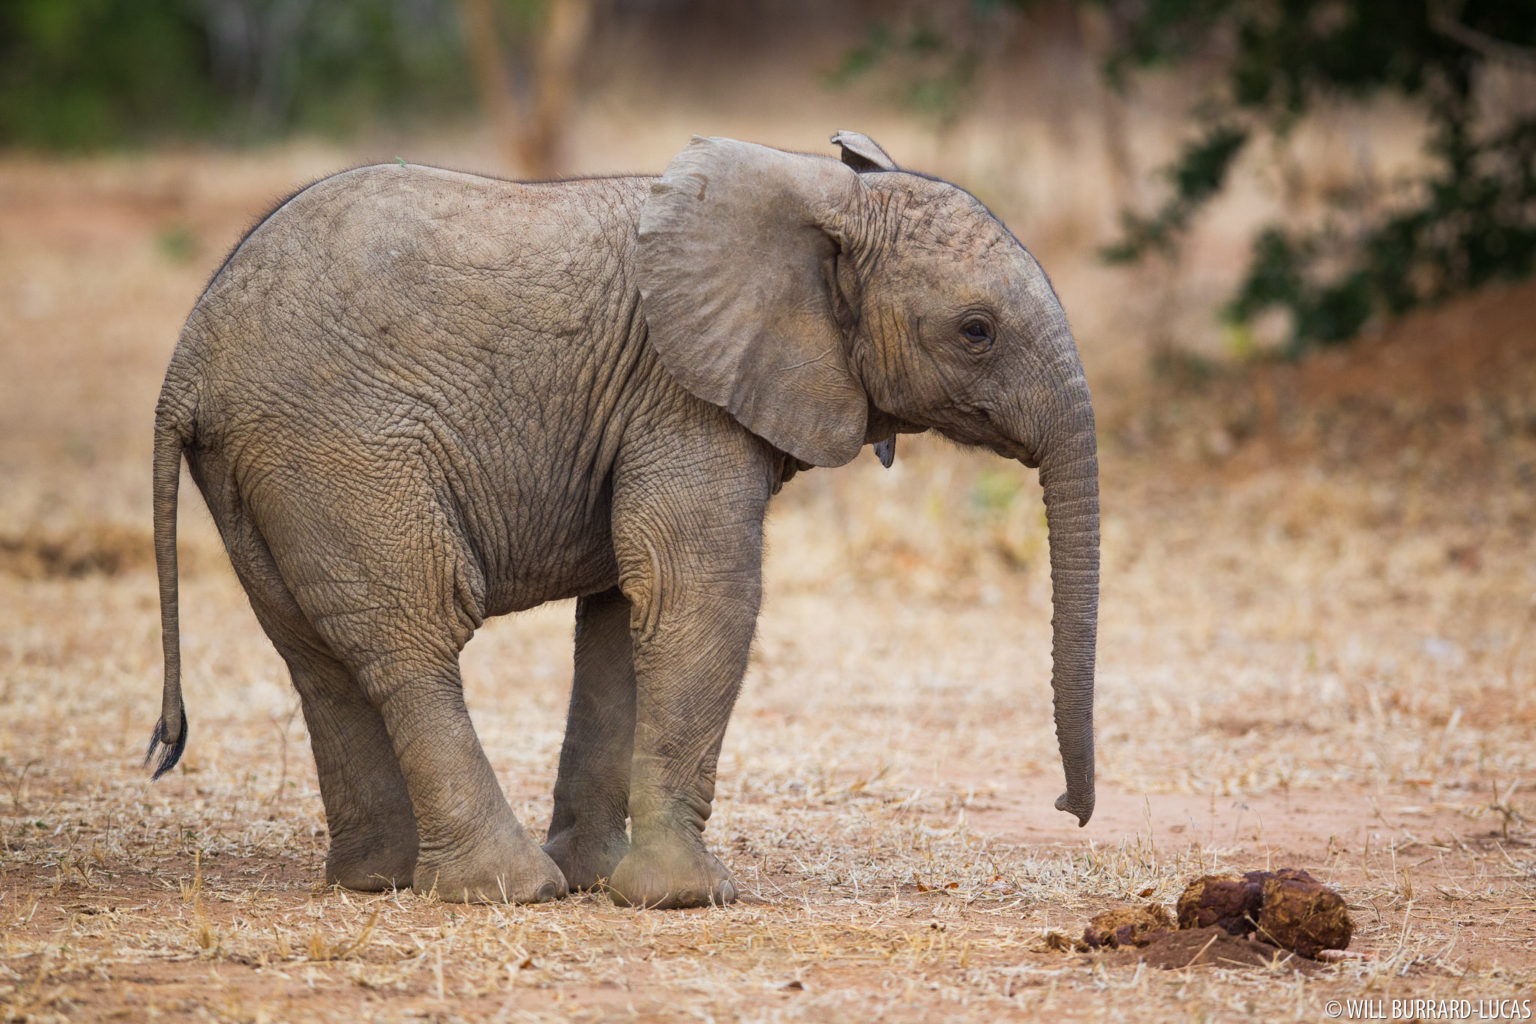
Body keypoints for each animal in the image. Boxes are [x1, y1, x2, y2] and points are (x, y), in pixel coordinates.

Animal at [146, 130, 1099, 909]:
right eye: (976, 331)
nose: (1067, 809)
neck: (816, 191)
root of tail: (187, 355)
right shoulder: (682, 396)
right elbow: (699, 592)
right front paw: (684, 898)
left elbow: (620, 617)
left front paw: (602, 880)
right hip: (337, 448)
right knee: (412, 631)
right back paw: (507, 888)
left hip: (257, 468)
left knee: (316, 654)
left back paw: (381, 880)